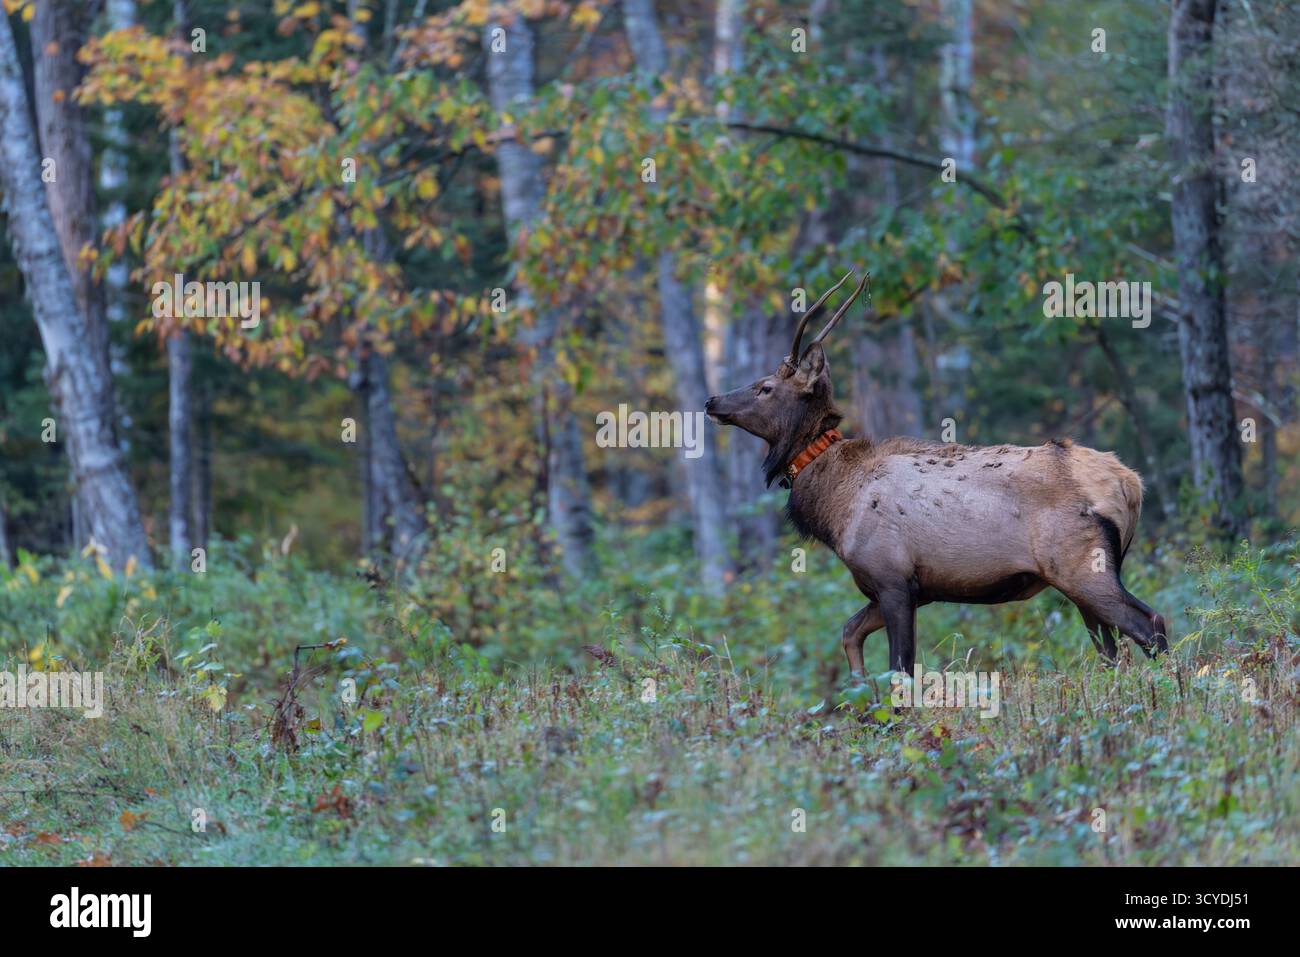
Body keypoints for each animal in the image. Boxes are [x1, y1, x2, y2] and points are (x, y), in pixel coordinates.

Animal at [705, 270, 1169, 679]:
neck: (835, 509)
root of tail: (1131, 484)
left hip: (1082, 567)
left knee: (1152, 624)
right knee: (1111, 651)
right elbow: (850, 632)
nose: (712, 401)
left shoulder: (893, 579)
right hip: (1085, 577)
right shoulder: (910, 590)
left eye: (765, 387)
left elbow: (901, 669)